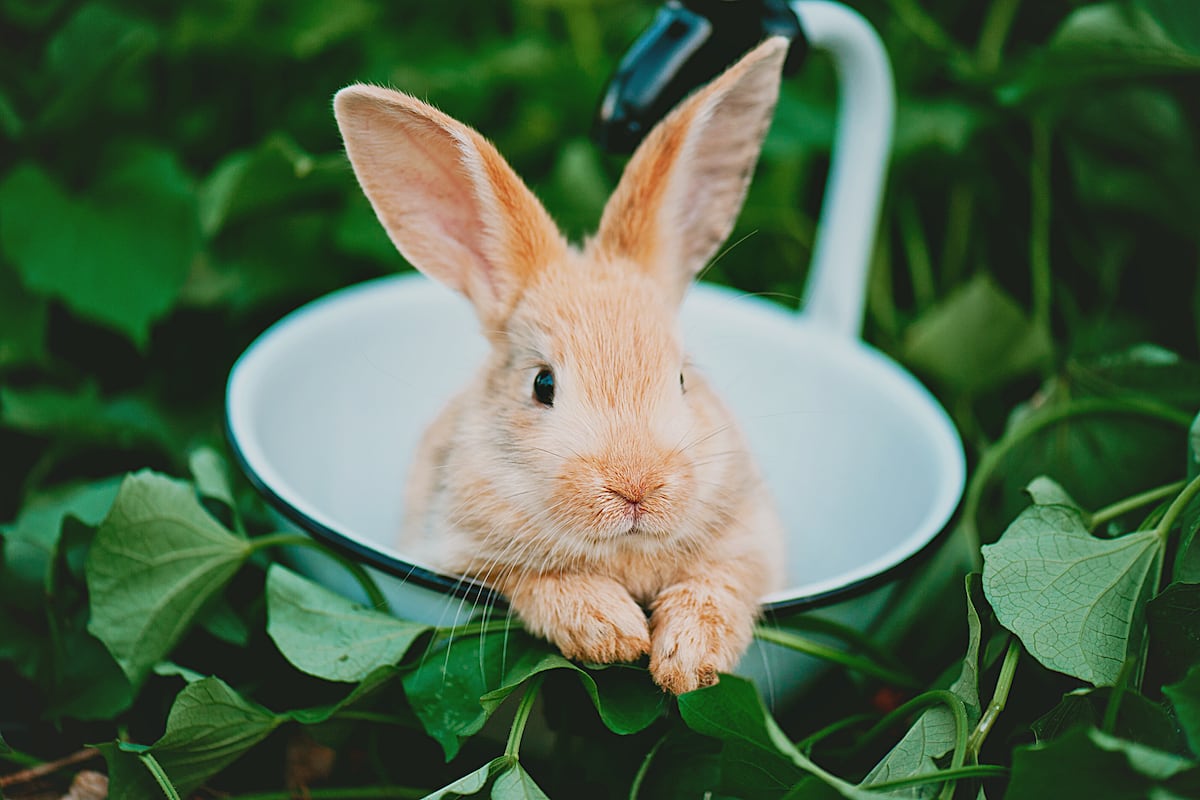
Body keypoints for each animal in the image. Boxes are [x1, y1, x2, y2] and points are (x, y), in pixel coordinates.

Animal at [334, 36, 788, 695]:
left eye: (682, 377)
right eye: (542, 384)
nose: (635, 488)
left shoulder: (750, 543)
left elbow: (718, 586)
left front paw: (687, 662)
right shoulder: (466, 554)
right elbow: (538, 581)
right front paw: (615, 634)